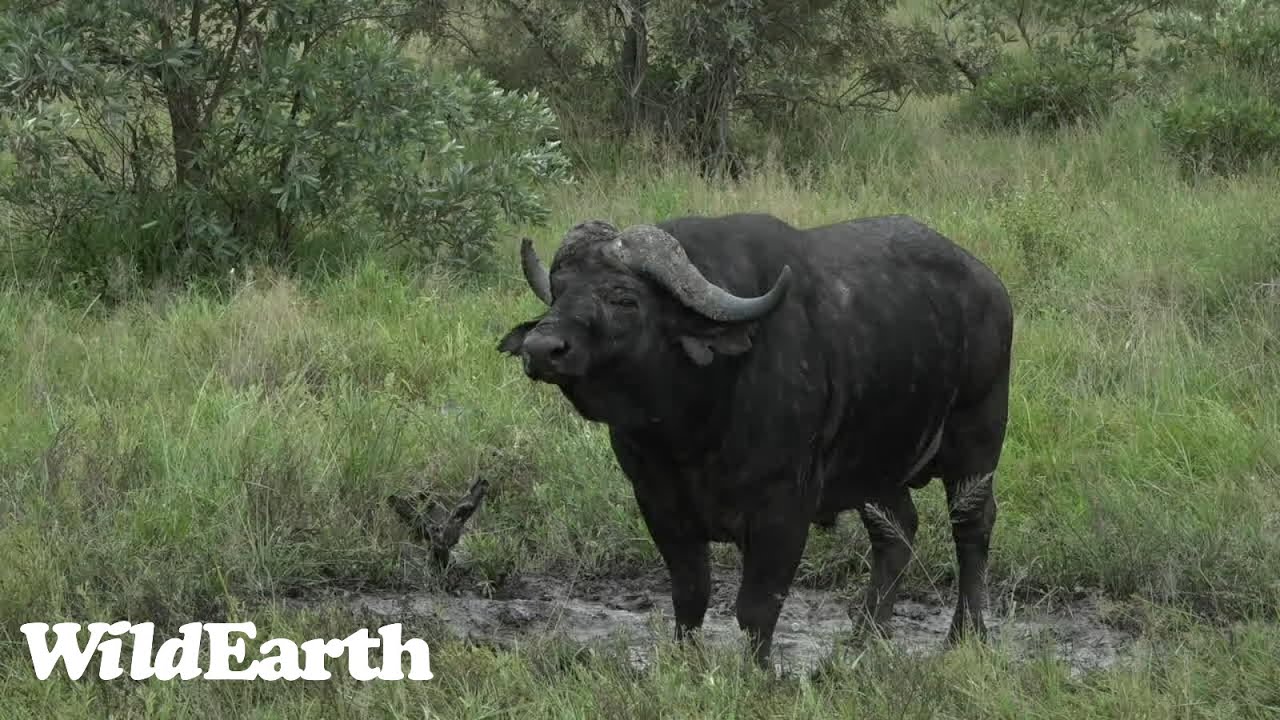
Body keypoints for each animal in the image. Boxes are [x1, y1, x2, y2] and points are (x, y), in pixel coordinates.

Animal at [499, 213, 1013, 668]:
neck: (692, 434)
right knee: (897, 532)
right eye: (559, 291)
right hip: (877, 467)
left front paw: (759, 670)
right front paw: (685, 662)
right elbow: (690, 595)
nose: (542, 349)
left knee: (972, 526)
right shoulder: (659, 503)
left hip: (978, 441)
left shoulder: (783, 512)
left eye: (623, 298)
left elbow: (757, 606)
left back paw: (966, 633)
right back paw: (866, 634)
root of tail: (990, 288)